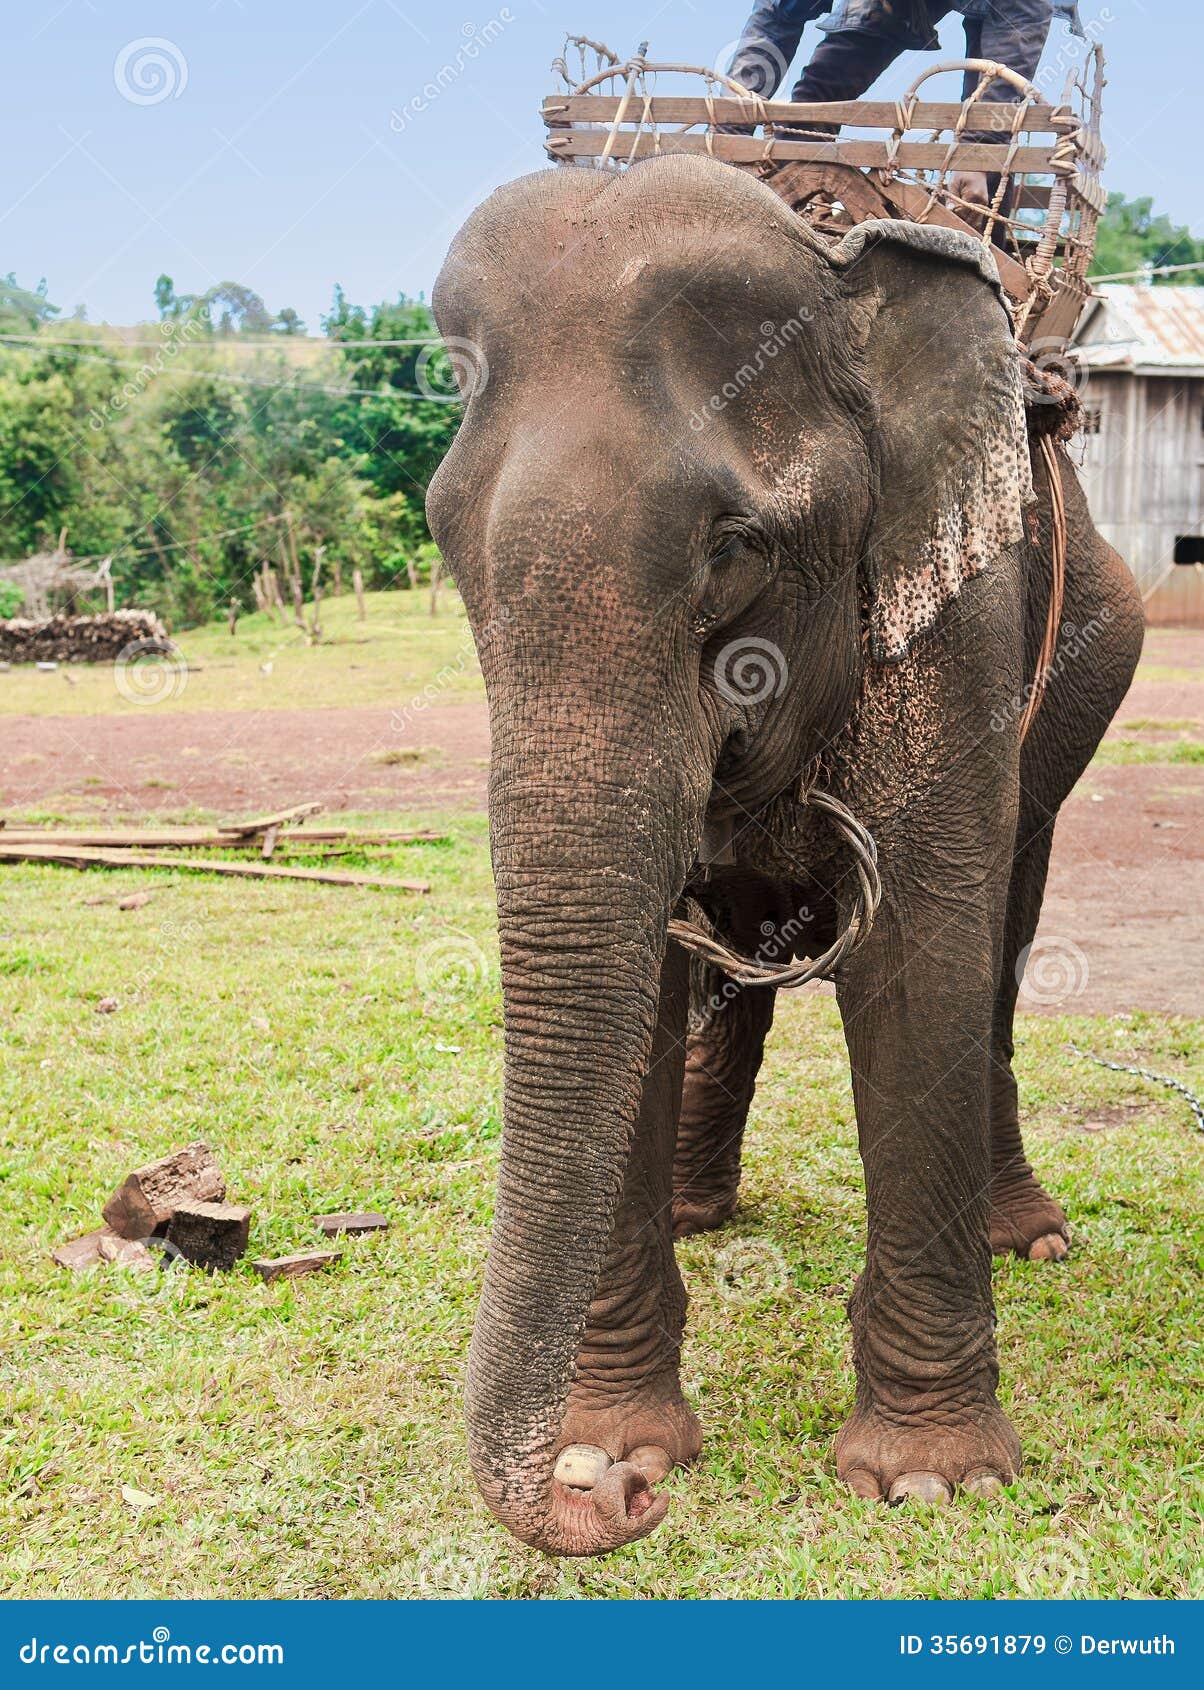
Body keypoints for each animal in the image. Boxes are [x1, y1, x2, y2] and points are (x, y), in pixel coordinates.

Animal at [425, 154, 1143, 1557]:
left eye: (732, 549)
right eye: (445, 543)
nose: (613, 1508)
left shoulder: (951, 607)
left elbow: (921, 963)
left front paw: (926, 1483)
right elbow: (645, 979)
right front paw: (616, 1445)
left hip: (1087, 672)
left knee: (1003, 942)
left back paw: (1025, 1236)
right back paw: (701, 1210)